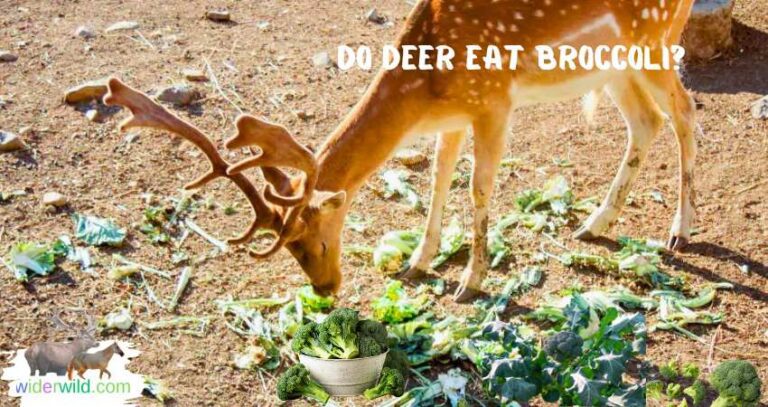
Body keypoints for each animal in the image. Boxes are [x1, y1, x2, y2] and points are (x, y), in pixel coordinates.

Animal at [103, 0, 698, 303]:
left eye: (315, 239)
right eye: (292, 250)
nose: (325, 289)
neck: (426, 83)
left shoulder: (494, 102)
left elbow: (479, 188)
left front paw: (470, 283)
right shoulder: (456, 117)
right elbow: (437, 179)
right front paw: (417, 263)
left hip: (656, 39)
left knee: (685, 112)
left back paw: (679, 231)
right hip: (614, 64)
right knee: (646, 122)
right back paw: (594, 223)